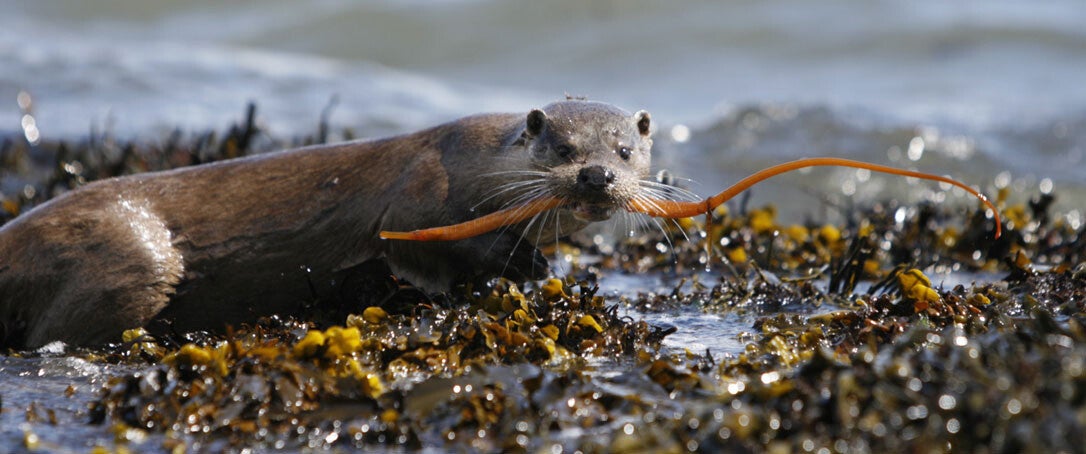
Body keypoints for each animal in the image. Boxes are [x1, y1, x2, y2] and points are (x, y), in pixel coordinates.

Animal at [0, 100, 653, 348]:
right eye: (564, 148)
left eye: (625, 151)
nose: (597, 175)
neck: (474, 162)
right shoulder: (421, 188)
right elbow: (416, 237)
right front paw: (522, 260)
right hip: (127, 256)